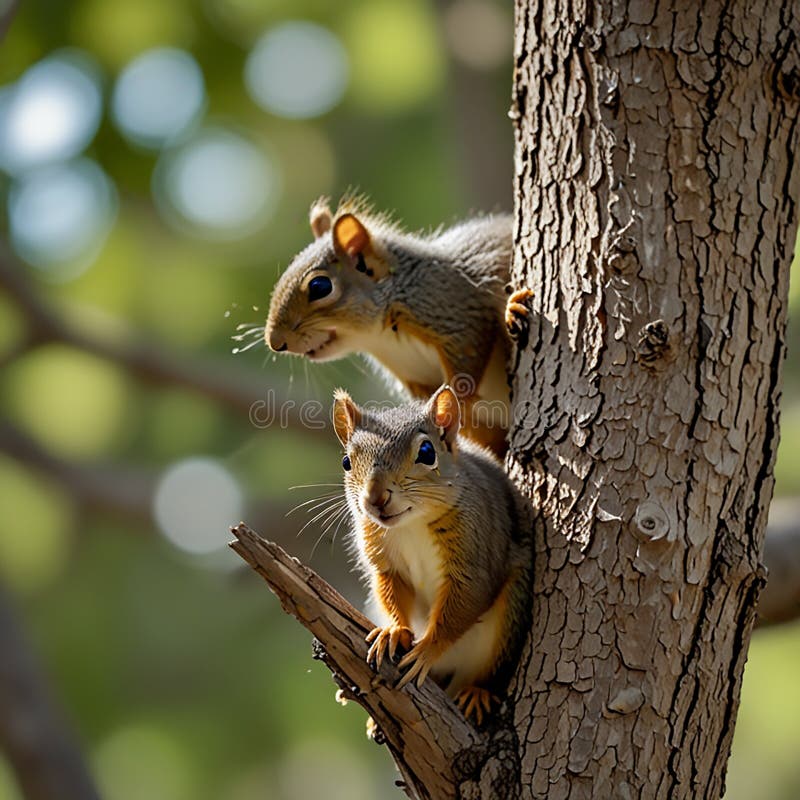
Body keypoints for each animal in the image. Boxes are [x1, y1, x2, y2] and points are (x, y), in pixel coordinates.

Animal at [265, 196, 534, 457]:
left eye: (320, 286)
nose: (275, 342)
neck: (381, 339)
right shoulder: (415, 378)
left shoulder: (451, 305)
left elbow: (468, 357)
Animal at [332, 383, 532, 725]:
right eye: (346, 461)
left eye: (426, 453)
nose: (375, 498)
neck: (411, 524)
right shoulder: (386, 563)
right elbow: (391, 591)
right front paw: (393, 631)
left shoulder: (477, 550)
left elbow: (464, 602)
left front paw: (426, 649)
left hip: (508, 616)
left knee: (486, 671)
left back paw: (476, 693)